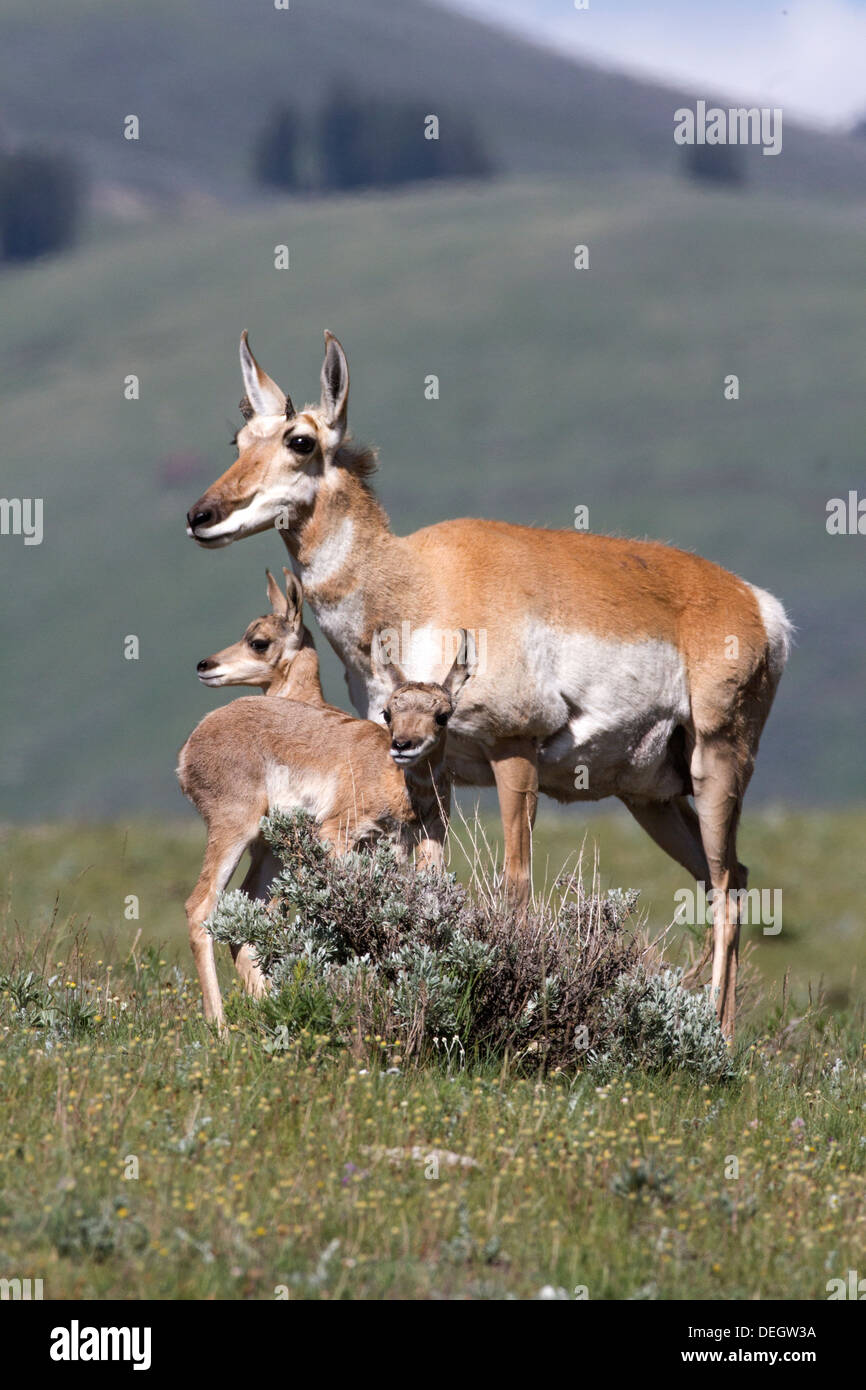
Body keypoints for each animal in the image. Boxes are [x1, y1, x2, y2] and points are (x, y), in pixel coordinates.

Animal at [178, 627, 474, 1027]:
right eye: (388, 712)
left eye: (442, 715)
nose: (403, 745)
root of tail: (199, 734)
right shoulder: (337, 835)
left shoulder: (430, 840)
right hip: (234, 830)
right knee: (201, 908)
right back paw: (221, 1027)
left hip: (271, 850)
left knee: (251, 911)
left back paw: (271, 1006)